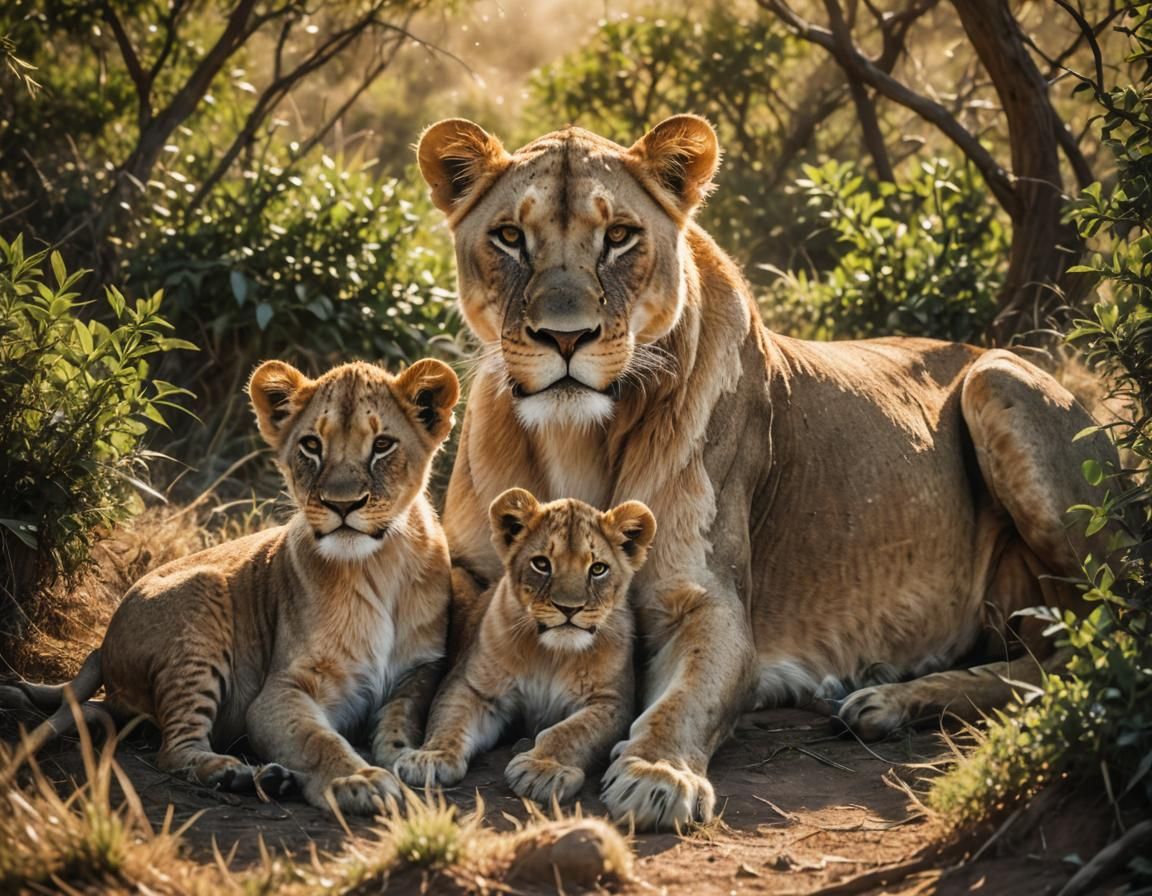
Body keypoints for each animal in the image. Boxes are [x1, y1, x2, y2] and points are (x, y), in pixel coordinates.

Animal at [1, 359, 459, 815]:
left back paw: (272, 778)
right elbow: (318, 740)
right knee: (172, 749)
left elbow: (401, 714)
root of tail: (102, 642)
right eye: (311, 445)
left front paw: (405, 755)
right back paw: (230, 772)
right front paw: (358, 779)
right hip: (201, 596)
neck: (375, 565)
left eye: (383, 445)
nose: (342, 505)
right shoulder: (278, 692)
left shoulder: (421, 668)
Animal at [394, 489, 654, 805]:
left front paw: (541, 770)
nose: (569, 608)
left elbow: (571, 732)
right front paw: (430, 757)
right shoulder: (473, 687)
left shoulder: (611, 702)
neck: (552, 655)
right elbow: (449, 718)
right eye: (541, 564)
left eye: (598, 569)